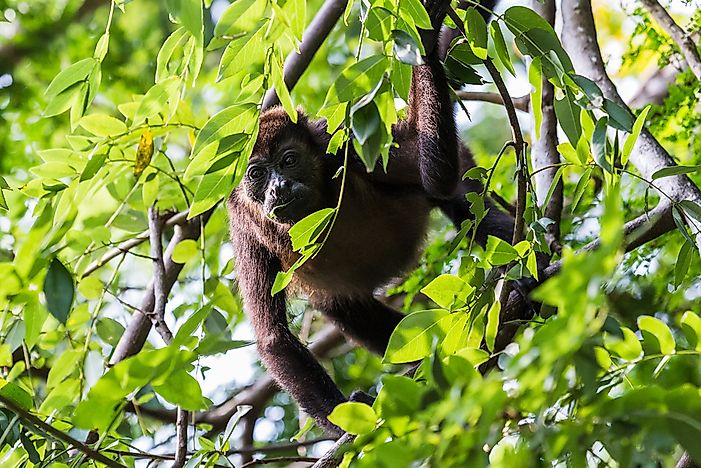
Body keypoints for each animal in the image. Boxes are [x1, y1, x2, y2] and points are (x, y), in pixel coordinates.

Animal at [227, 0, 513, 435]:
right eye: (257, 174)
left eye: (289, 161)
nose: (278, 188)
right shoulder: (245, 228)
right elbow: (274, 338)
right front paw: (345, 422)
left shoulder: (341, 146)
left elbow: (434, 176)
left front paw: (426, 35)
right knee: (346, 308)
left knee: (461, 204)